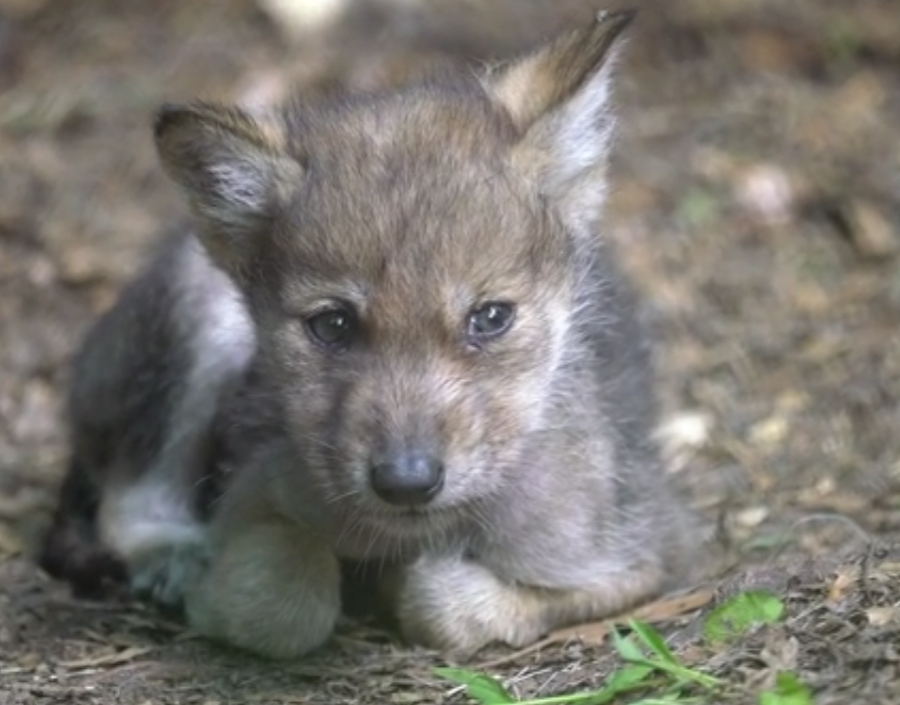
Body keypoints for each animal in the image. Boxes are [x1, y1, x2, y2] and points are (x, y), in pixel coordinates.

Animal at [40, 10, 698, 659]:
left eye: (490, 317)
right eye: (332, 324)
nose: (407, 483)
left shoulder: (642, 557)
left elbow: (448, 604)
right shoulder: (257, 495)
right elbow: (280, 603)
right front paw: (221, 589)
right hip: (193, 316)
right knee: (128, 501)